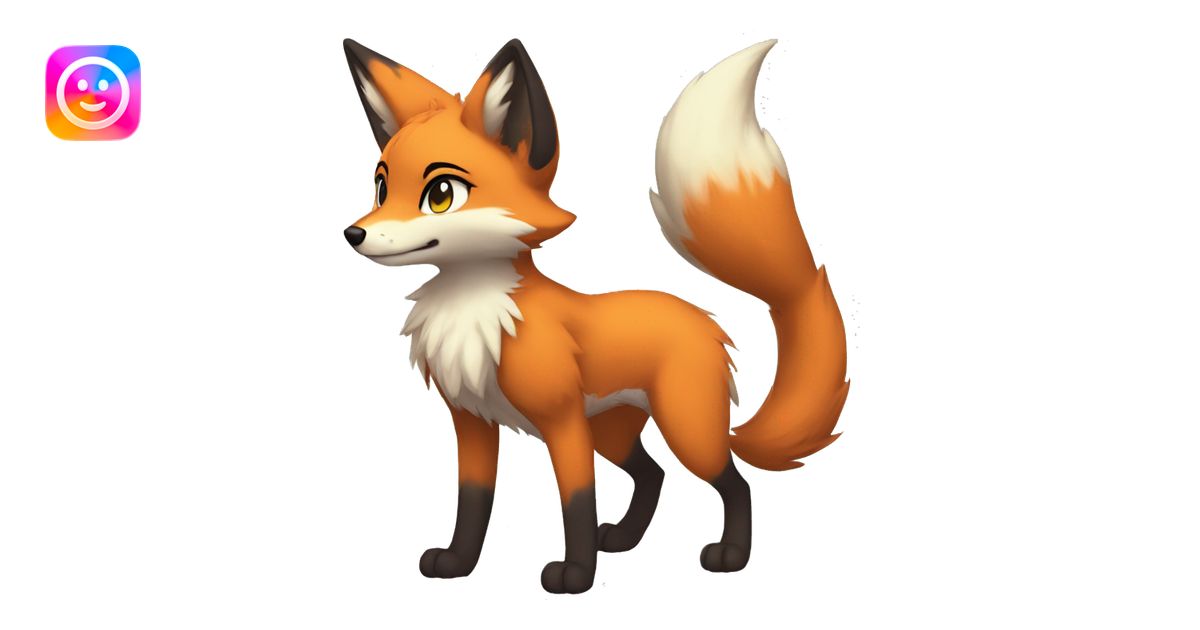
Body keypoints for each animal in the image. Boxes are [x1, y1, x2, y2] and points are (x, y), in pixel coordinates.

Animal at [341, 37, 849, 594]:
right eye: (380, 188)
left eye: (440, 195)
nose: (353, 234)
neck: (476, 309)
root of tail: (702, 316)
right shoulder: (472, 421)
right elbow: (472, 502)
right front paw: (457, 563)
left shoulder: (563, 422)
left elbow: (576, 502)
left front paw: (576, 575)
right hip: (614, 432)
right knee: (653, 475)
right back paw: (625, 538)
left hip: (685, 430)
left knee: (735, 483)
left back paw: (731, 554)